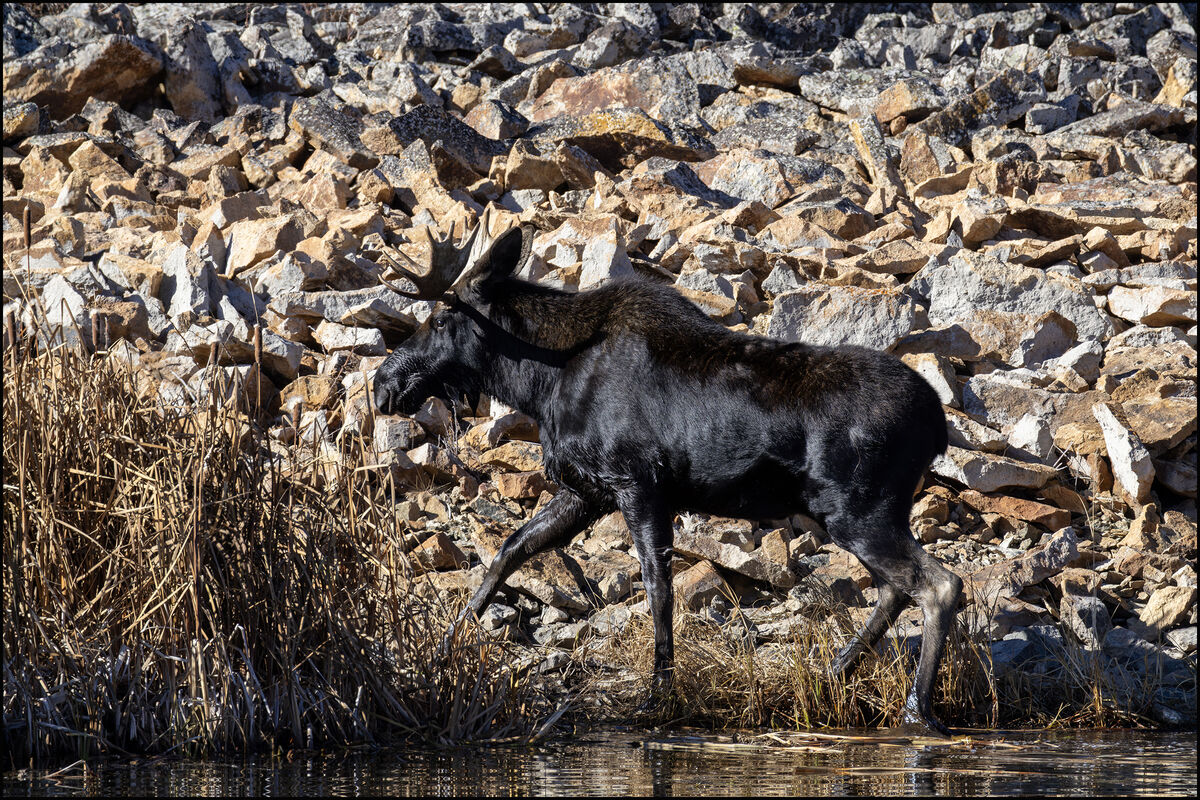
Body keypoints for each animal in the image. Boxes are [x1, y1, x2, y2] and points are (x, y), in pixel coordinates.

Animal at [371, 209, 963, 735]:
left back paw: (917, 712)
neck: (539, 382)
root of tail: (937, 424)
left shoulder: (637, 484)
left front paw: (658, 694)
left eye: (439, 320)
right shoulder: (587, 491)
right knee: (894, 590)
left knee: (937, 585)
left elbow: (658, 589)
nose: (382, 384)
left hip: (858, 510)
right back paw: (834, 672)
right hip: (856, 514)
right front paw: (447, 643)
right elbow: (509, 550)